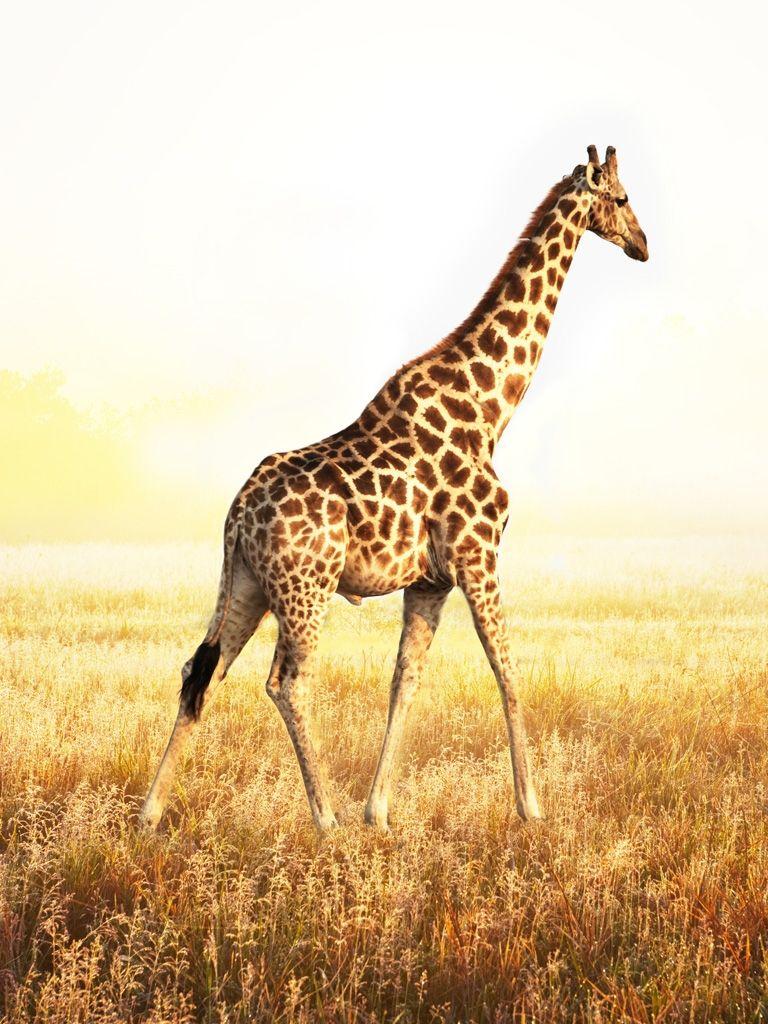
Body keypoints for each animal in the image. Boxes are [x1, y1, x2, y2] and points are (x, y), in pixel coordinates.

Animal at [141, 145, 648, 833]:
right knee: (286, 681)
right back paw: (323, 818)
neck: (490, 408)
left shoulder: (430, 579)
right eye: (622, 198)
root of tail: (237, 513)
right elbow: (508, 671)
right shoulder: (478, 556)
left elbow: (405, 679)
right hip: (305, 588)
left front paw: (379, 811)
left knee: (202, 670)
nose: (643, 244)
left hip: (247, 582)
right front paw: (532, 808)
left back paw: (150, 814)